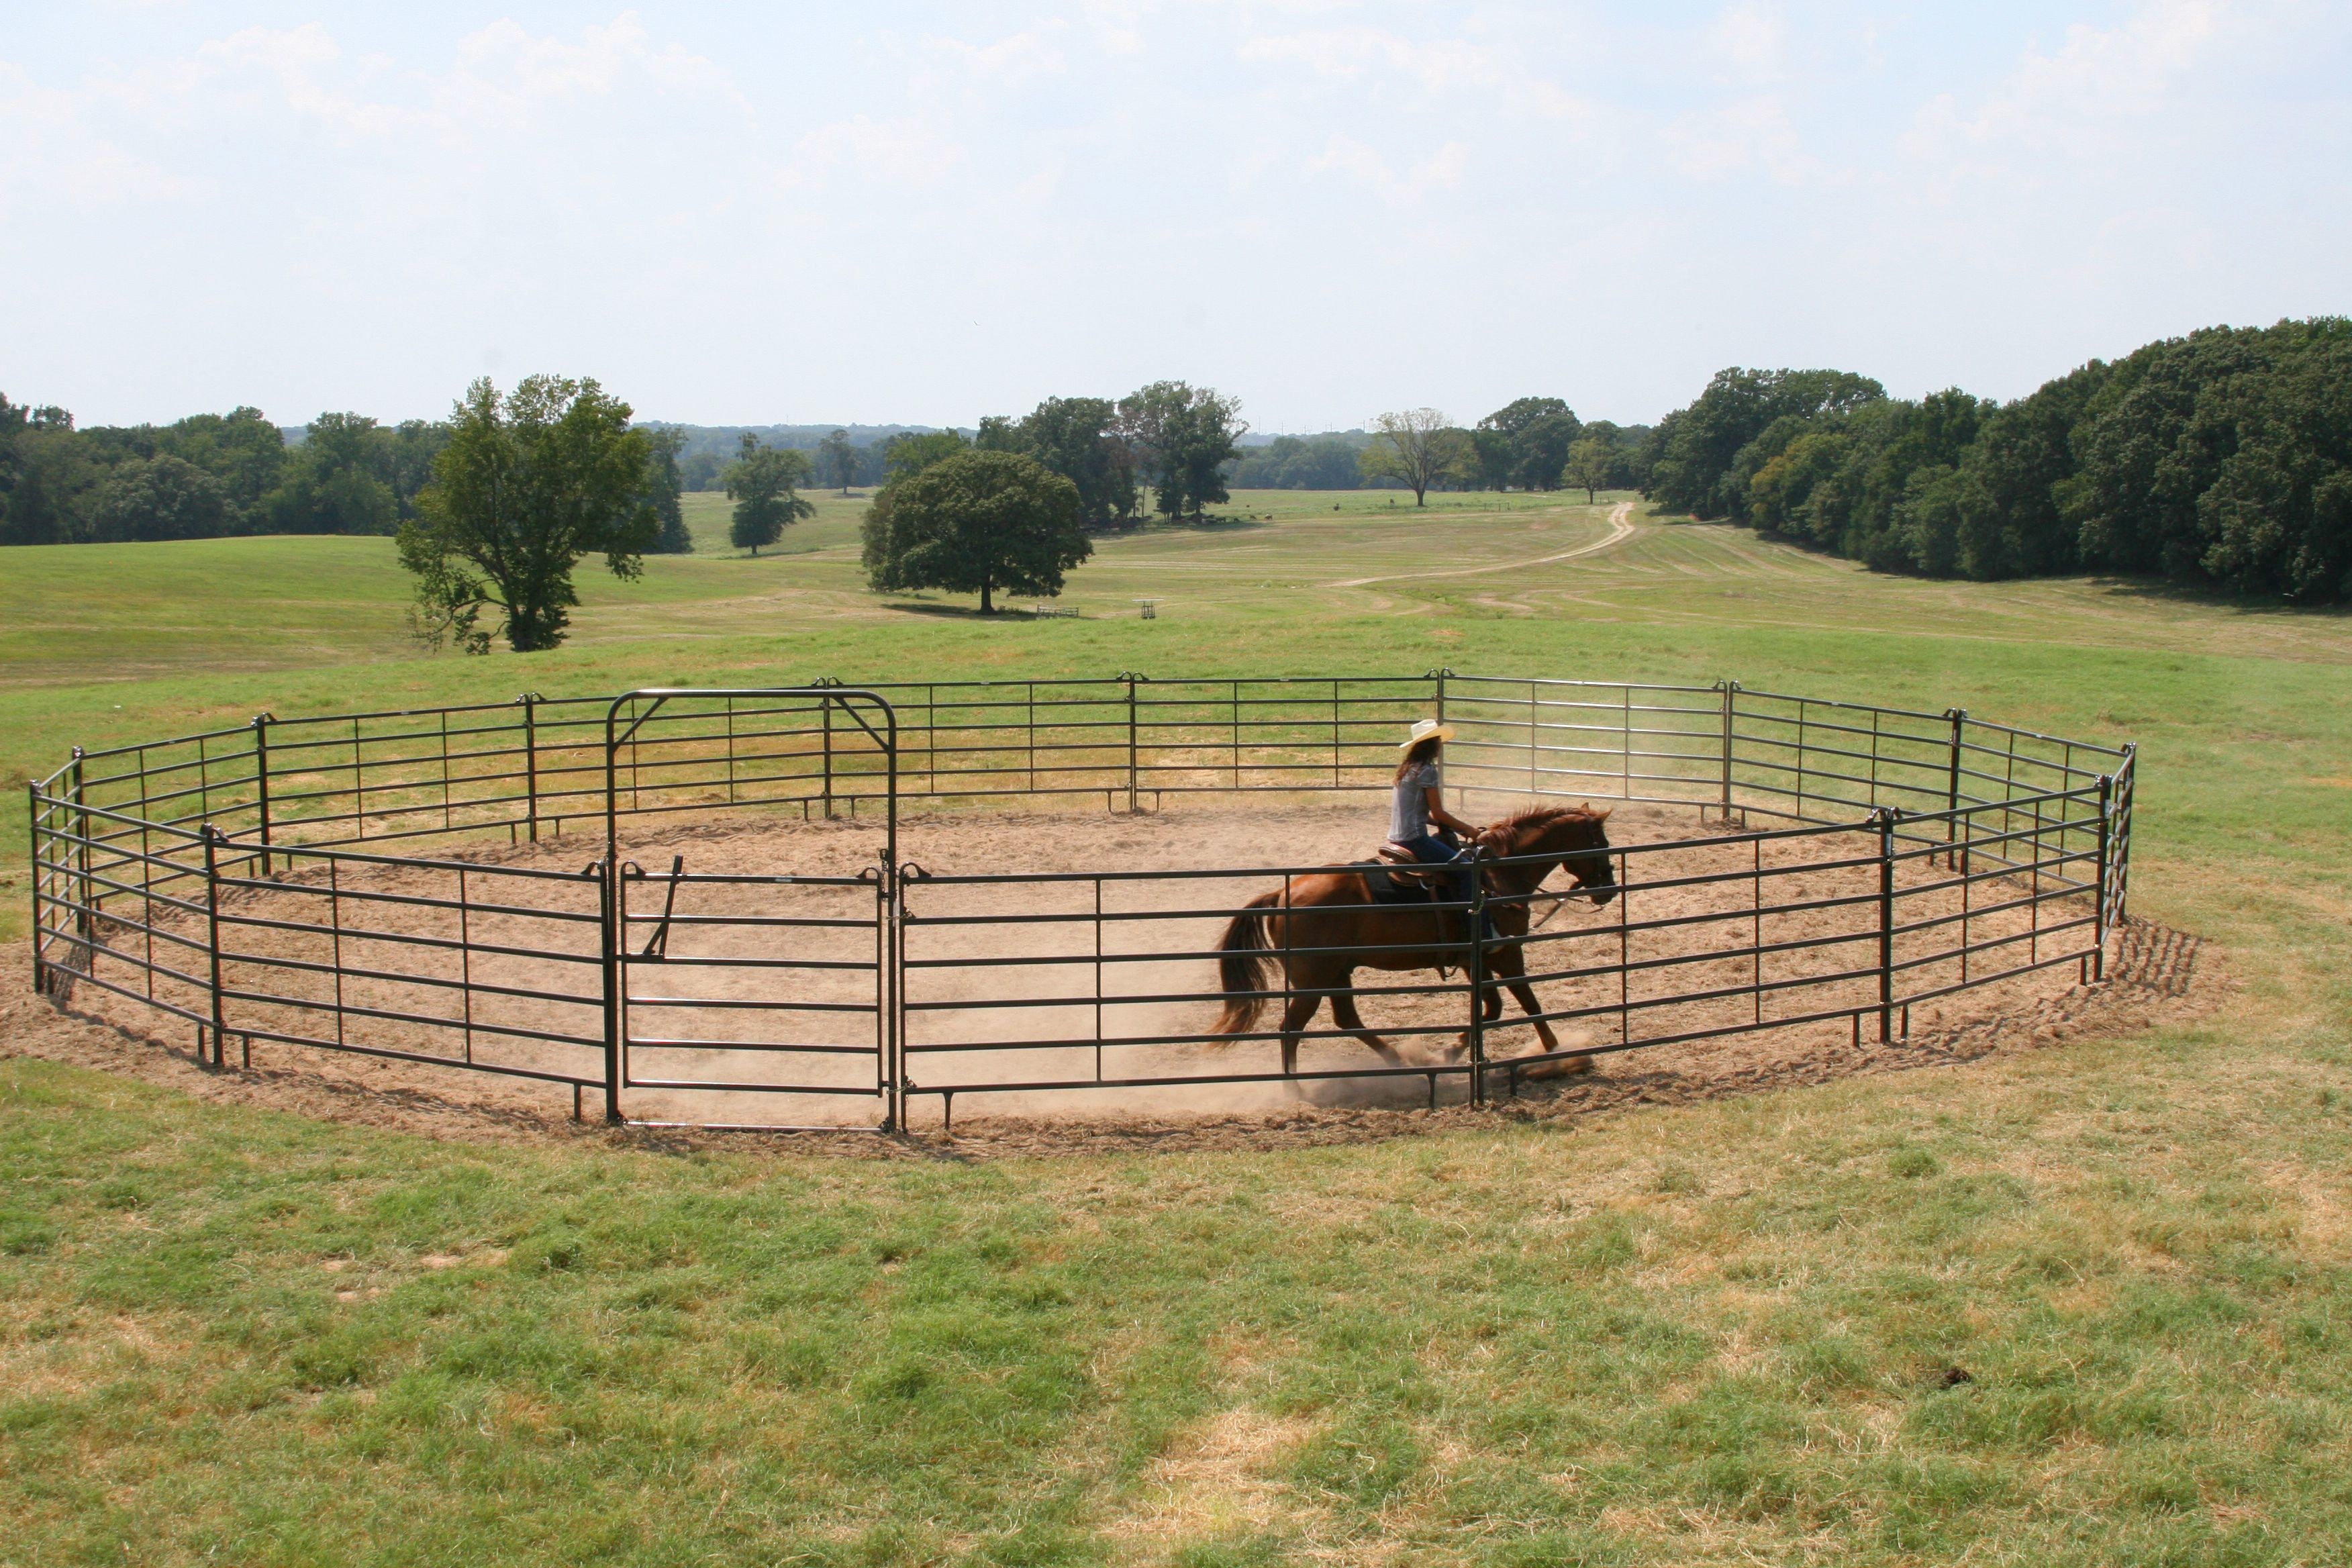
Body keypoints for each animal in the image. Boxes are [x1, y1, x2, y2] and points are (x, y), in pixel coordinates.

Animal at [1207, 805, 1618, 1077]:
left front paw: (1449, 1054)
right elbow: (1530, 1003)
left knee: (1347, 1019)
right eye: (1601, 843)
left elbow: (1491, 1009)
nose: (1610, 891)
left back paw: (1400, 1062)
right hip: (1313, 980)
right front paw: (1559, 1057)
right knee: (1292, 1029)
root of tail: (1281, 893)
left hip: (1337, 972)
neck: (1498, 875)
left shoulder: (1475, 961)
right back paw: (1294, 1088)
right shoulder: (1506, 954)